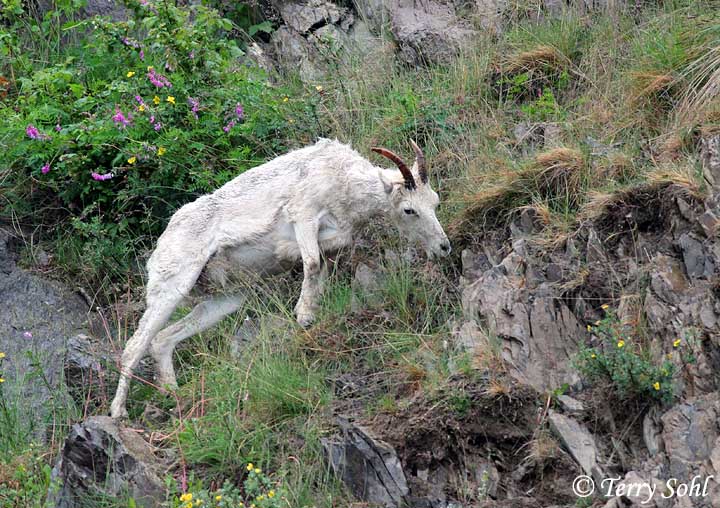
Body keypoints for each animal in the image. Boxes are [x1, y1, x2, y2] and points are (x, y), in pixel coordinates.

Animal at [109, 138, 450, 418]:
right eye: (409, 210)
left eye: (434, 202)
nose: (444, 247)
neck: (341, 181)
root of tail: (162, 242)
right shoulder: (304, 216)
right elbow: (311, 263)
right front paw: (303, 314)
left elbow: (323, 260)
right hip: (172, 288)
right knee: (135, 346)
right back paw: (118, 413)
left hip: (226, 300)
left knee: (163, 340)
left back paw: (174, 395)